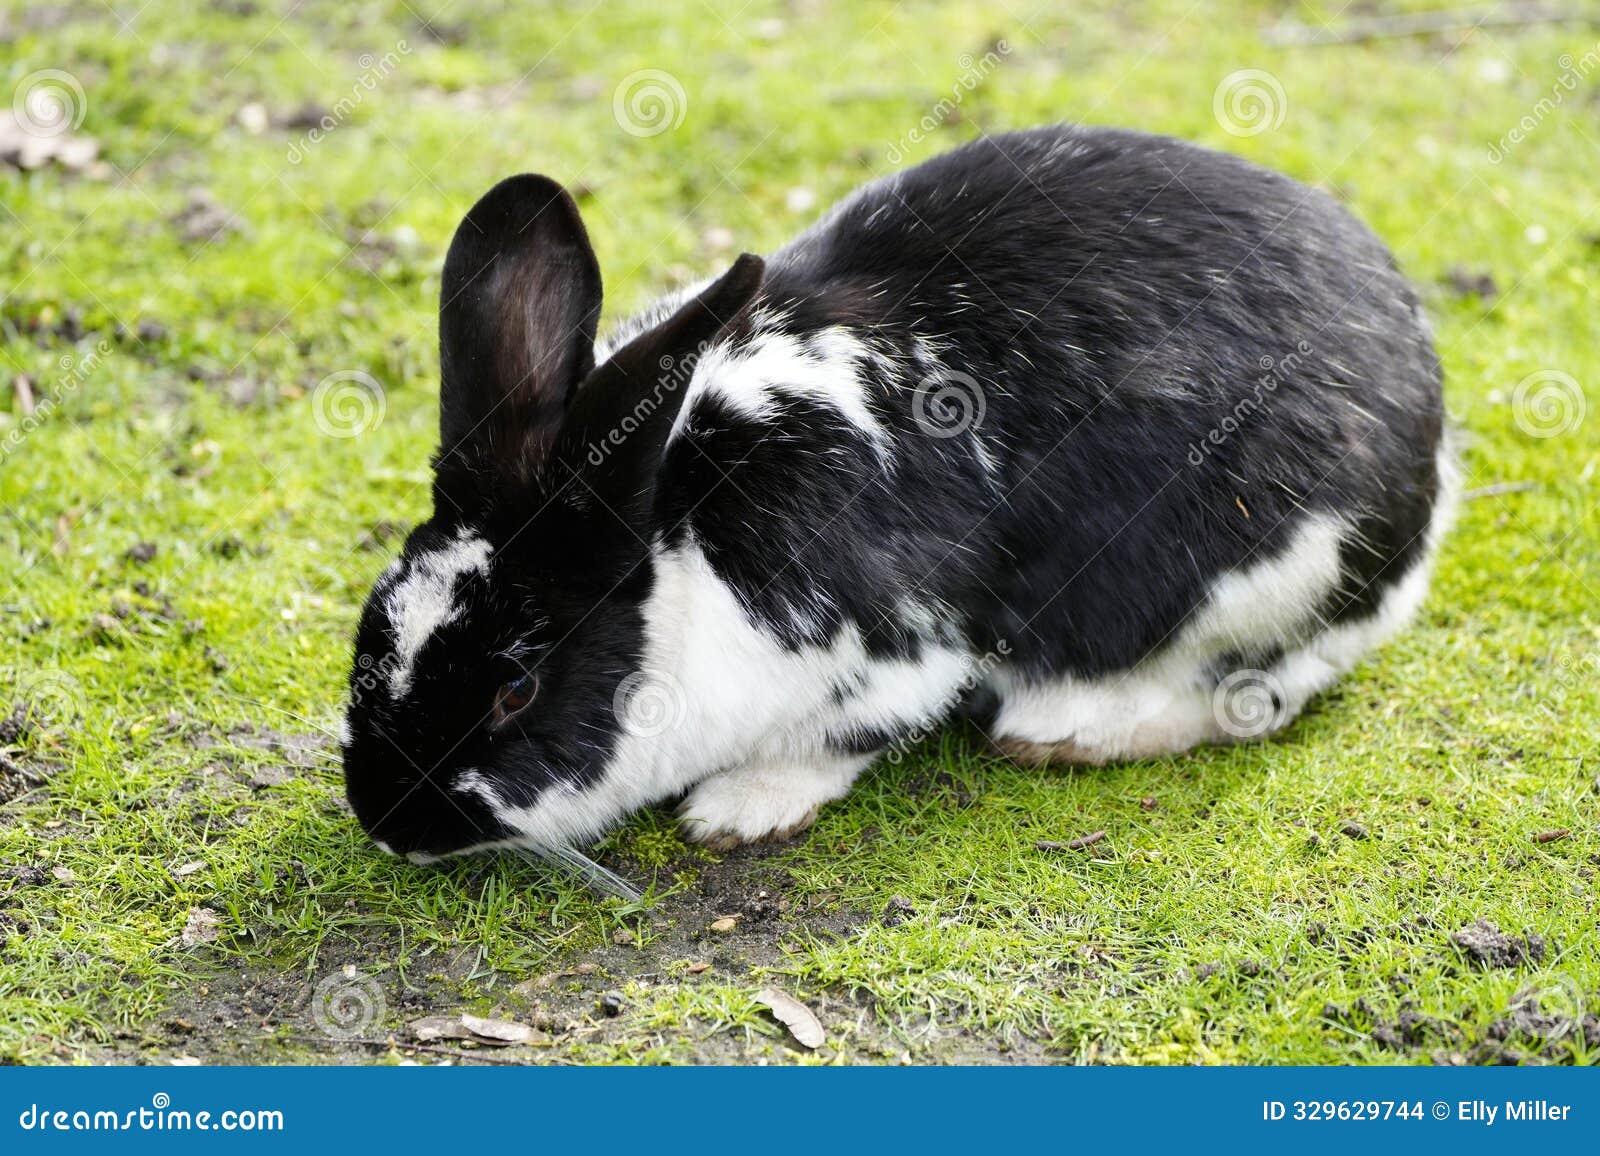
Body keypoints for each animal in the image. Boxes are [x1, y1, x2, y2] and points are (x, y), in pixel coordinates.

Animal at [340, 124, 1454, 865]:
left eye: (516, 688)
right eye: (371, 630)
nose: (389, 821)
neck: (677, 528)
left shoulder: (895, 654)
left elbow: (837, 739)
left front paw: (736, 809)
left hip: (1269, 577)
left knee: (1260, 689)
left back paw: (1062, 729)